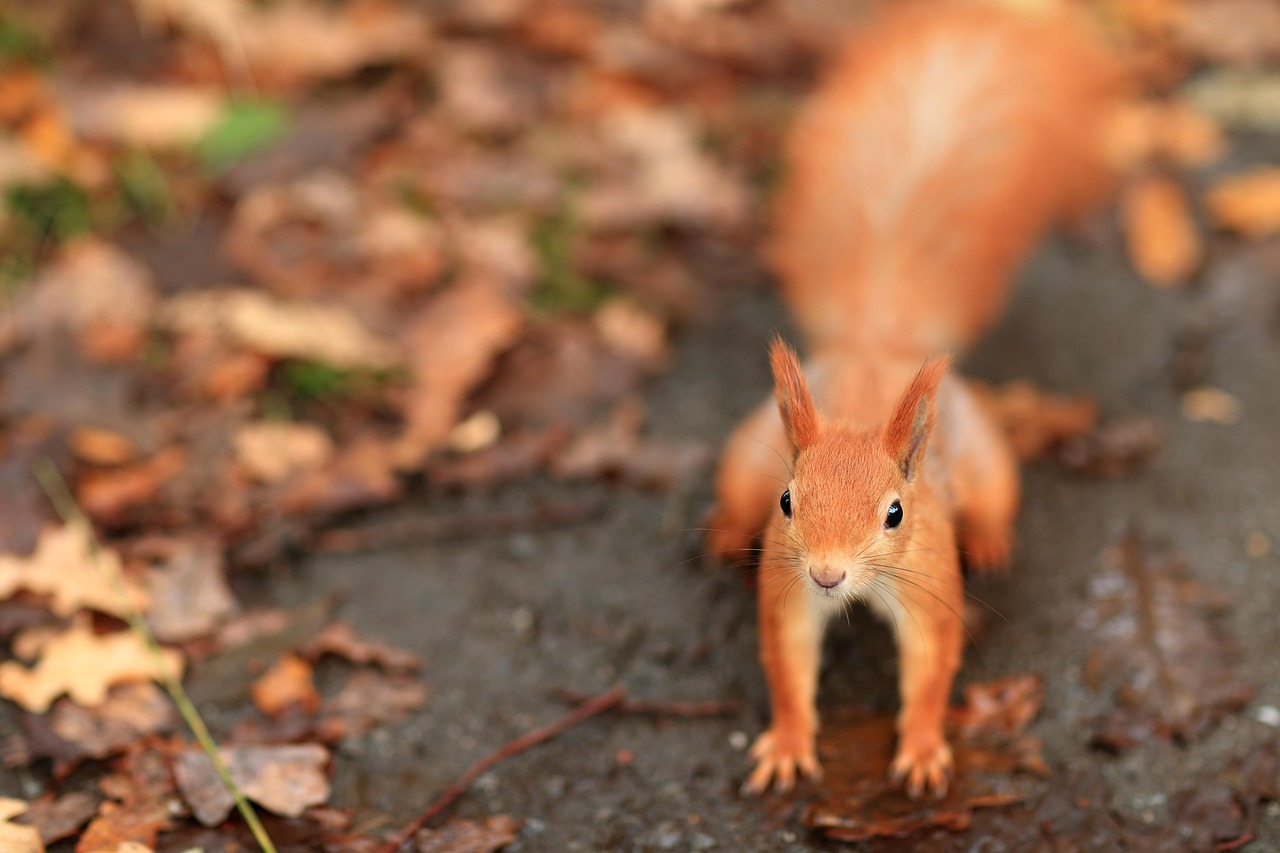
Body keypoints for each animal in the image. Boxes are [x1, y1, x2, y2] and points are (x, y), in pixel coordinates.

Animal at [706, 2, 1120, 798]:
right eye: (788, 501)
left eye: (897, 511)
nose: (827, 574)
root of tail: (878, 338)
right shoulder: (785, 582)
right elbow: (787, 663)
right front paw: (789, 741)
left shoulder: (929, 579)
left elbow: (931, 665)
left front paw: (925, 747)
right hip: (739, 454)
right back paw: (719, 531)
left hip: (990, 462)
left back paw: (989, 537)